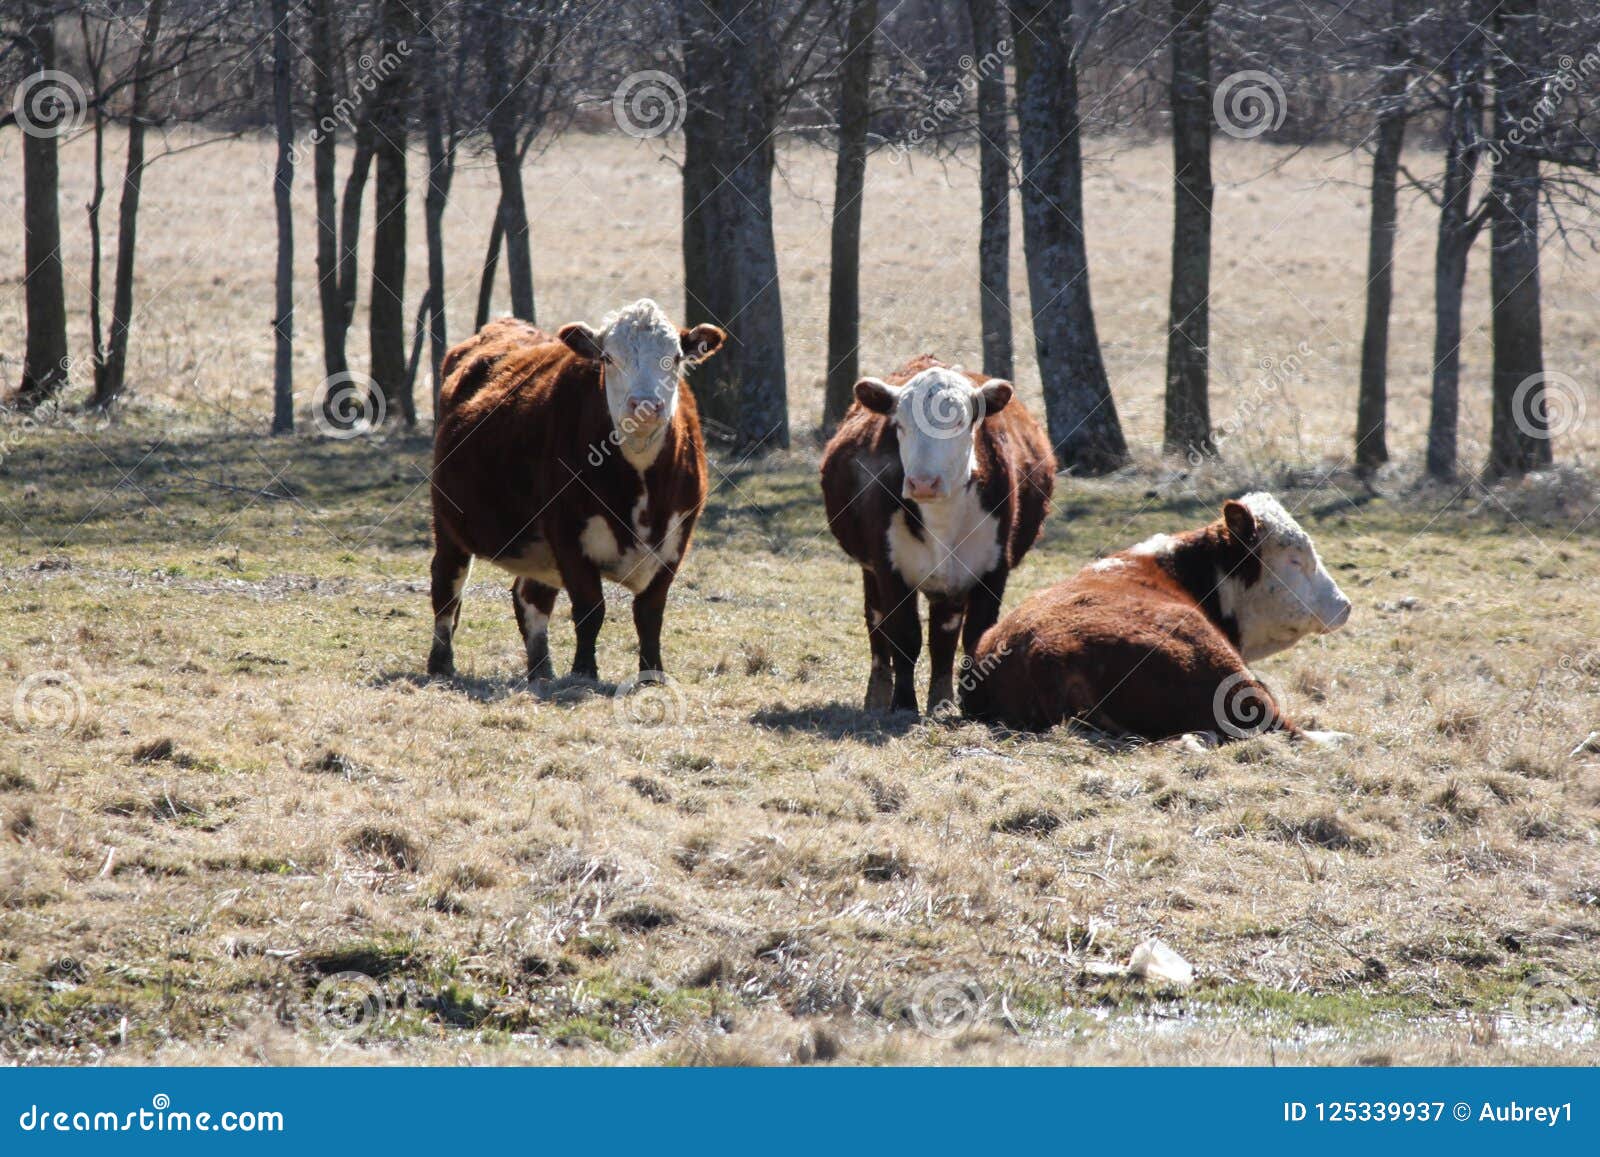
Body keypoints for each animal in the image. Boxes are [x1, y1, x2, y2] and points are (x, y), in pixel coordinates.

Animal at [427, 300, 724, 685]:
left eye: (673, 357)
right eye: (609, 358)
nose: (645, 405)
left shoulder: (676, 539)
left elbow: (649, 612)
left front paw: (652, 673)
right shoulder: (567, 534)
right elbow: (590, 608)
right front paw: (584, 672)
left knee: (531, 598)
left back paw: (541, 669)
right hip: (449, 523)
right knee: (447, 587)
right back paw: (441, 663)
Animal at [820, 356, 1056, 715]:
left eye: (960, 421)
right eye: (900, 424)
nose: (923, 483)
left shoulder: (994, 569)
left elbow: (976, 636)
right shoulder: (889, 568)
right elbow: (904, 636)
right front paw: (903, 704)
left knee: (944, 636)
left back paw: (941, 701)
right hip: (871, 571)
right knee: (877, 624)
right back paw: (878, 696)